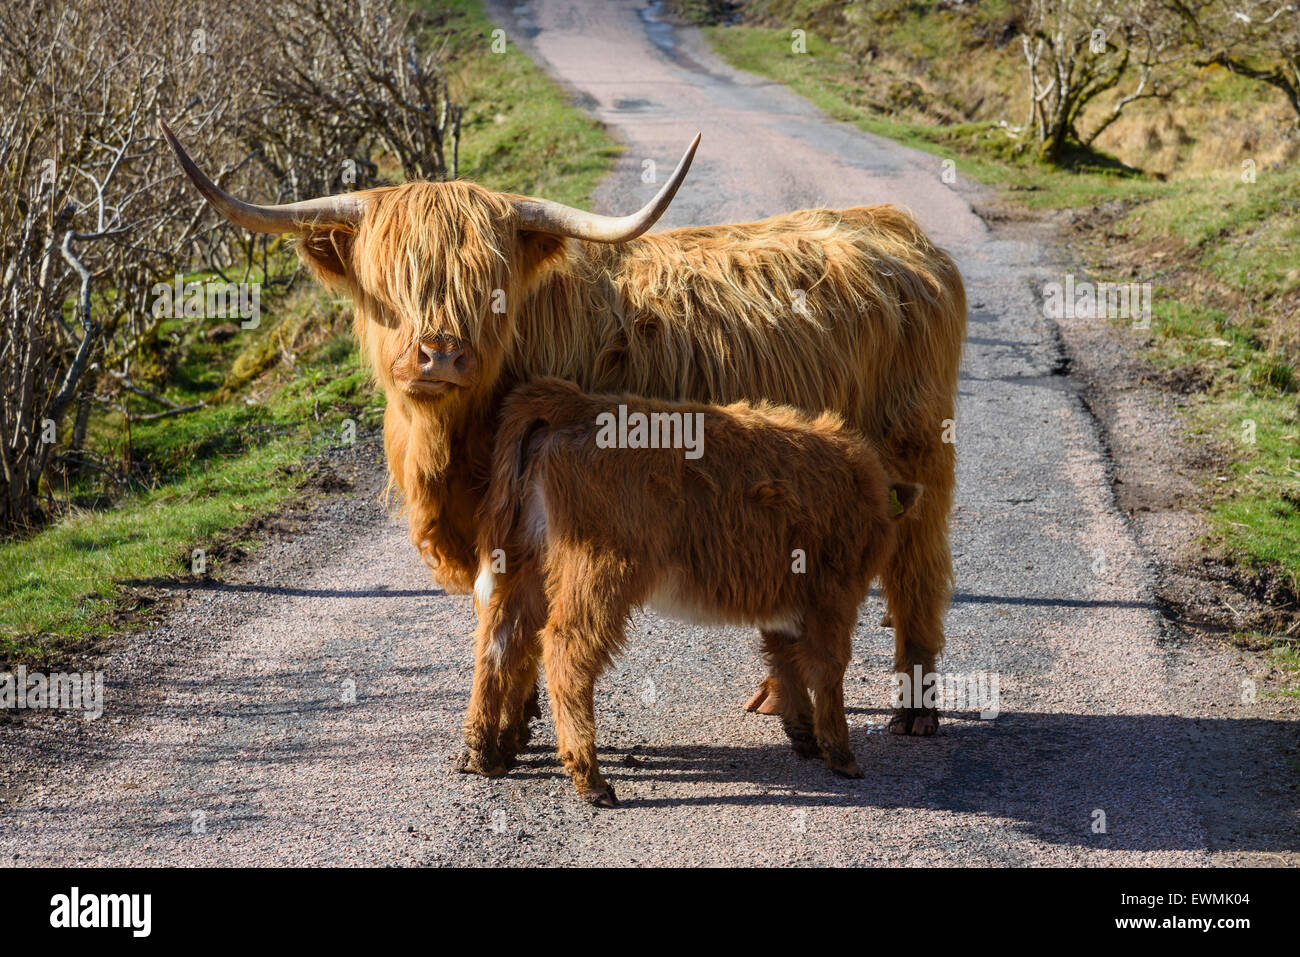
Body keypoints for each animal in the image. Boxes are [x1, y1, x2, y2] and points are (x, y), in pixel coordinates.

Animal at [159, 120, 965, 739]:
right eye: (390, 281)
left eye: (489, 283)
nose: (440, 352)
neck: (447, 448)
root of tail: (892, 227)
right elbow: (503, 614)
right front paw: (511, 726)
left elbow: (522, 616)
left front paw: (511, 729)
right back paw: (775, 695)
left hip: (915, 454)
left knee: (918, 565)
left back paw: (915, 708)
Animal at [466, 378, 922, 806]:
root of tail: (573, 401)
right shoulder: (834, 597)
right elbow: (828, 668)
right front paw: (840, 753)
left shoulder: (787, 601)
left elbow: (785, 659)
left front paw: (804, 733)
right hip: (598, 573)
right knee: (565, 650)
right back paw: (590, 779)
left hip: (527, 563)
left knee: (499, 638)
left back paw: (483, 753)